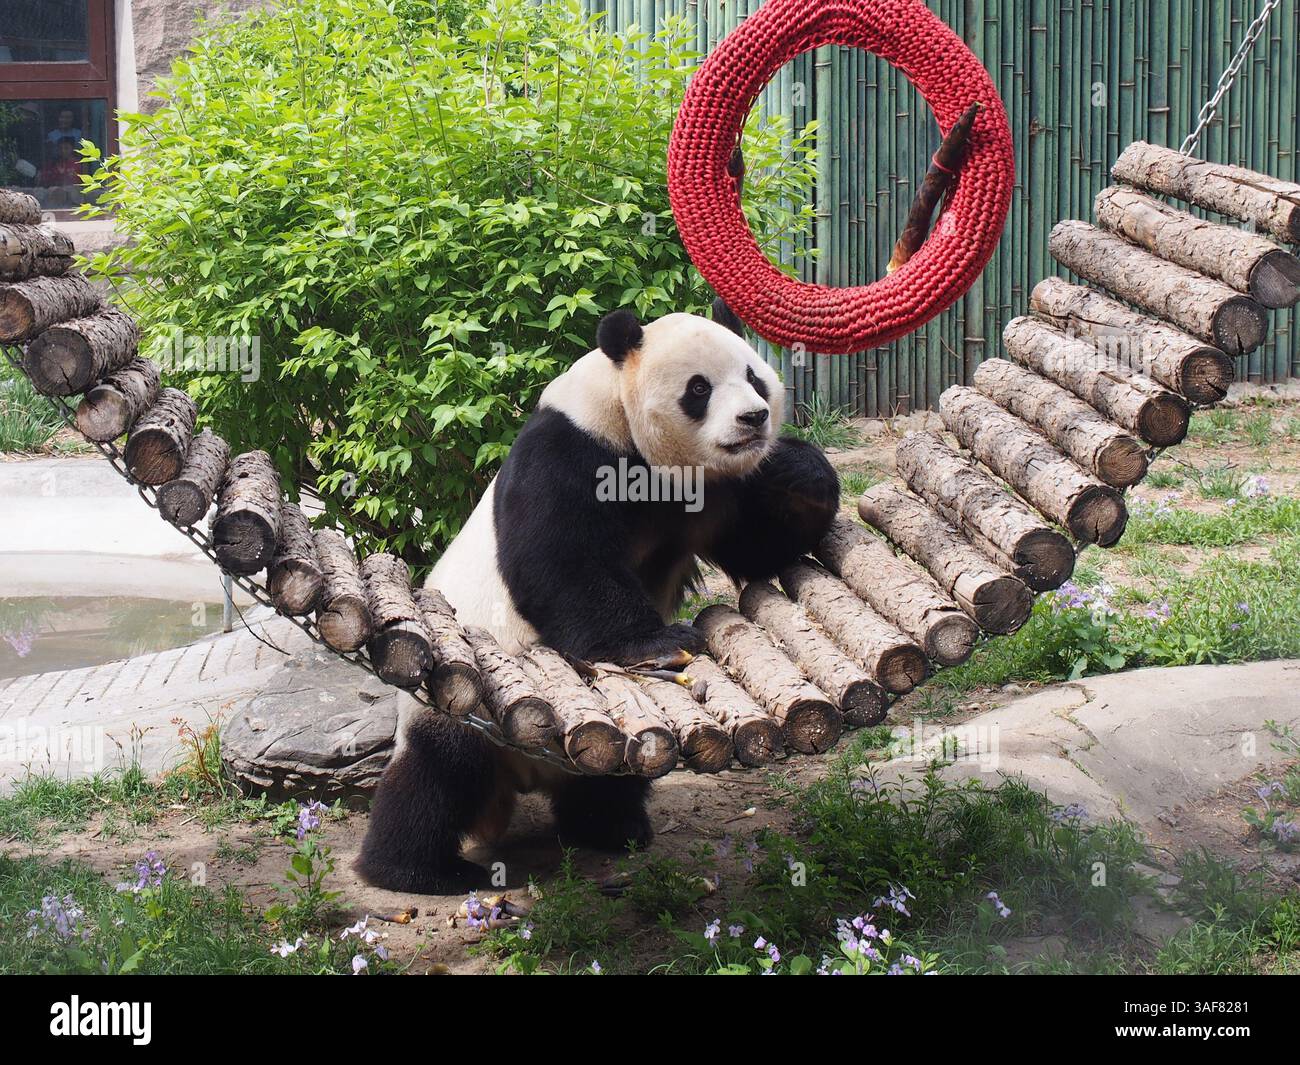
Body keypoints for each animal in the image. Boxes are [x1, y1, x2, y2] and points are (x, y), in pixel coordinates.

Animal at [356, 305, 840, 893]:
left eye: (753, 376)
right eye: (699, 388)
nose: (754, 418)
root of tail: (531, 763)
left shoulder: (719, 488)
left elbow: (759, 546)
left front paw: (799, 470)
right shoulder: (575, 449)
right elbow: (558, 557)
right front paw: (659, 642)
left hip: (616, 742)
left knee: (615, 777)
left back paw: (610, 827)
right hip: (462, 701)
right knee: (438, 773)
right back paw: (415, 869)